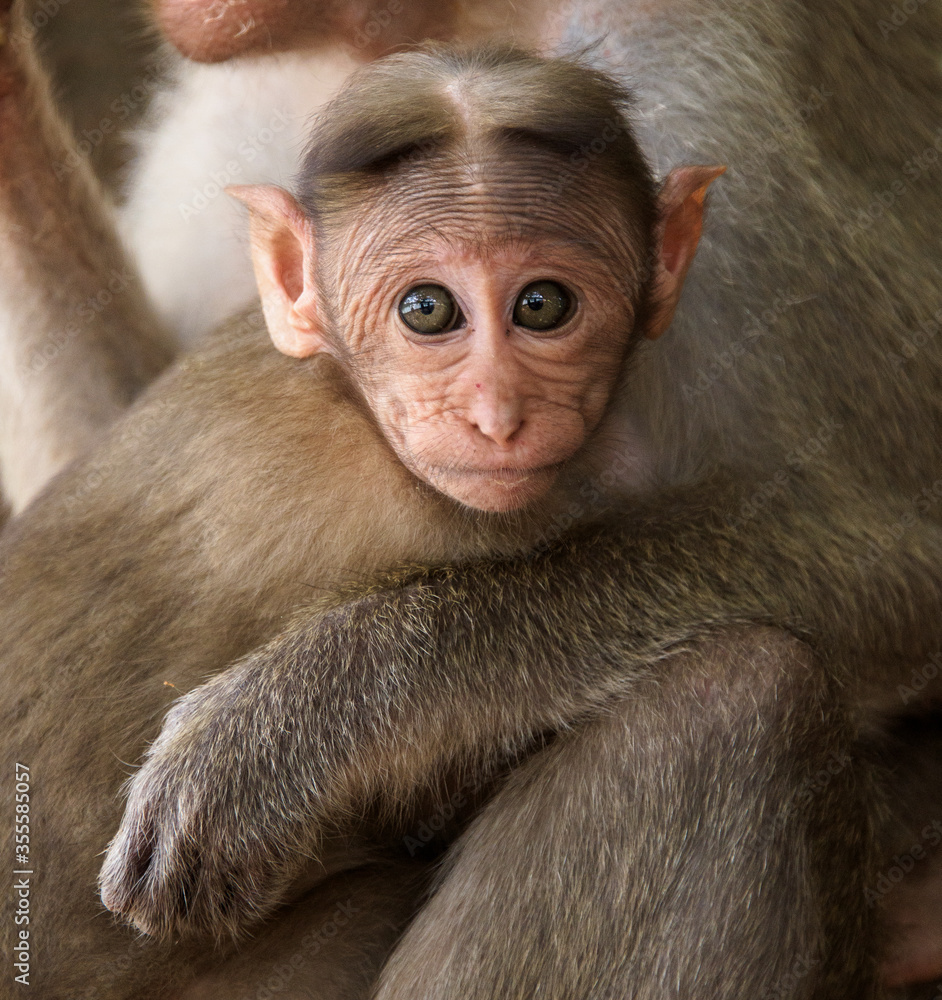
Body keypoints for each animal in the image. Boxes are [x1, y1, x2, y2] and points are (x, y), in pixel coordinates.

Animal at [2, 0, 942, 997]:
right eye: (426, 310)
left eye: (543, 306)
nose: (496, 415)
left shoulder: (707, 77)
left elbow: (890, 575)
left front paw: (285, 728)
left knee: (737, 699)